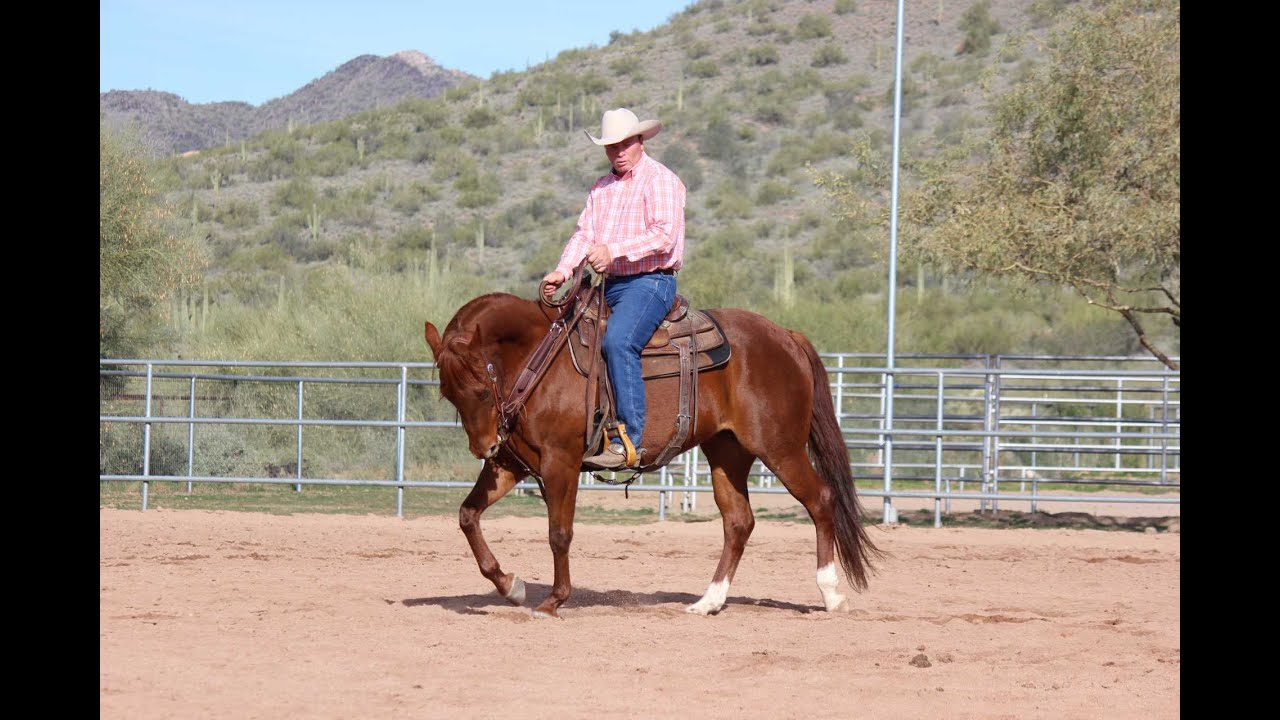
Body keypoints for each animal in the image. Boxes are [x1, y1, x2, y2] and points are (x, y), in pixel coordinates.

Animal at [423, 286, 880, 619]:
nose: (484, 446)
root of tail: (786, 336)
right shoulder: (511, 464)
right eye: (448, 393)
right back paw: (708, 602)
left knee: (820, 501)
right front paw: (511, 586)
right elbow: (468, 515)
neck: (539, 359)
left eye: (482, 389)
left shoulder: (560, 462)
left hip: (780, 448)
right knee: (738, 522)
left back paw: (830, 594)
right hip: (727, 453)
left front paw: (553, 601)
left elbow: (559, 533)